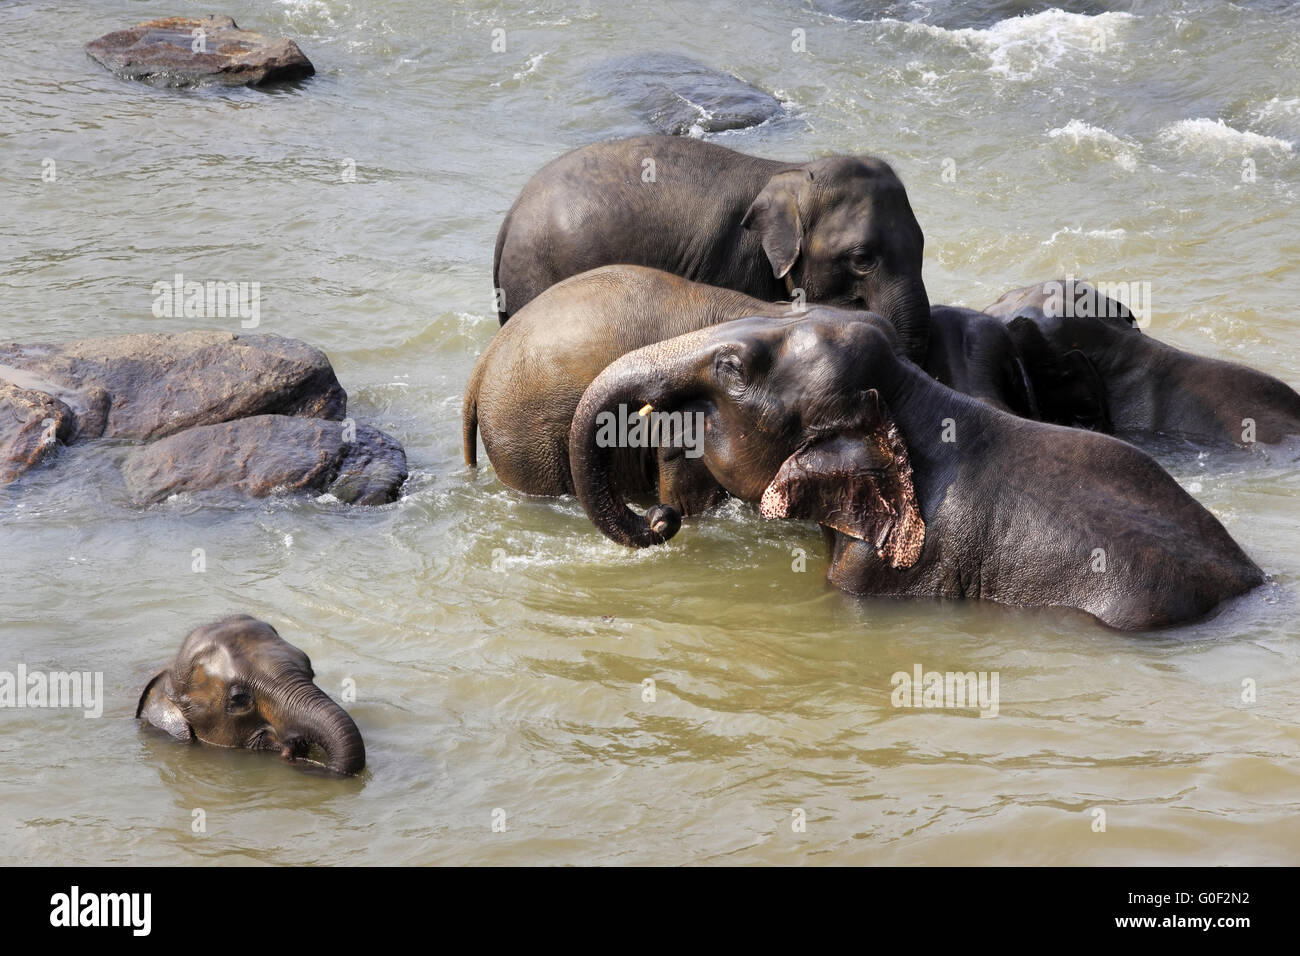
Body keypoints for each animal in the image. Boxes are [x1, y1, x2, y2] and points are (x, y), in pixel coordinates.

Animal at [493, 135, 932, 362]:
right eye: (861, 259)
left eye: (922, 247)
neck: (789, 172)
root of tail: (510, 217)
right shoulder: (733, 259)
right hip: (534, 275)